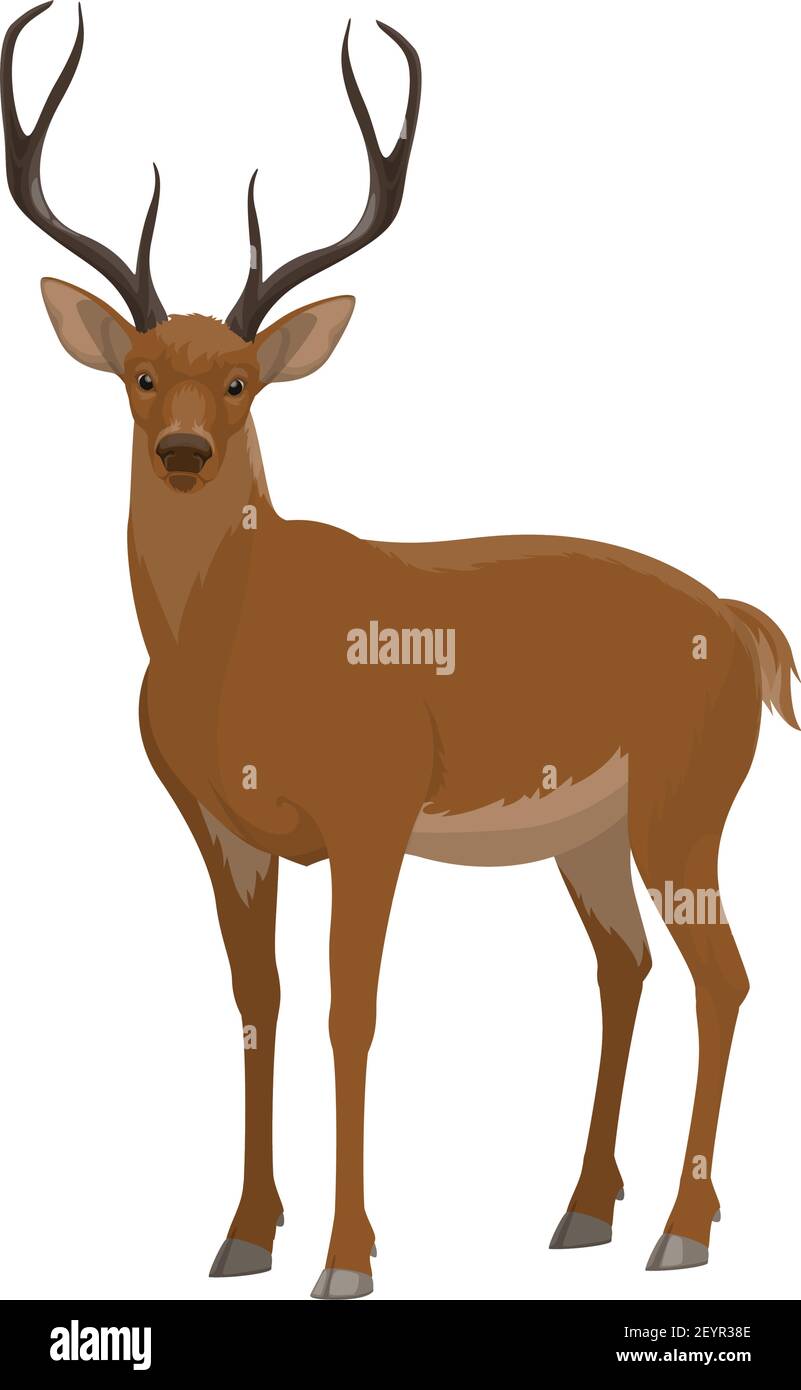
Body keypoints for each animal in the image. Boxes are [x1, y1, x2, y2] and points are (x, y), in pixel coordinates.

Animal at [3, 0, 797, 1301]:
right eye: (139, 374)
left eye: (241, 379)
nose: (183, 451)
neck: (239, 650)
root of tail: (743, 623)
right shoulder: (222, 829)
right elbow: (258, 1002)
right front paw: (242, 1234)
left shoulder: (369, 811)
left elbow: (351, 1010)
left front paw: (348, 1257)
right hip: (590, 832)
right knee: (624, 966)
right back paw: (583, 1209)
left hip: (688, 805)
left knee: (722, 974)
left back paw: (683, 1230)